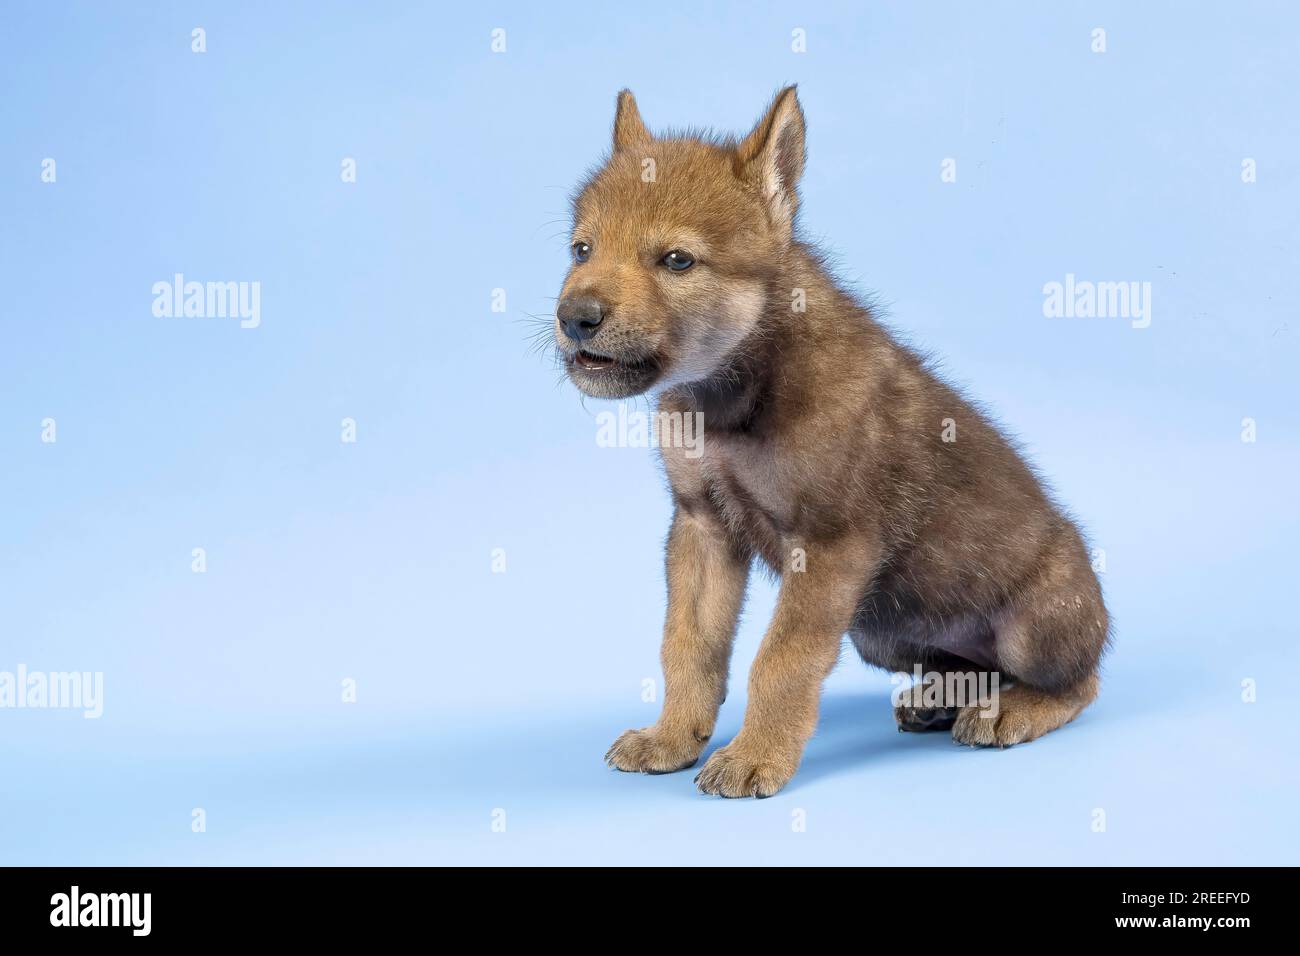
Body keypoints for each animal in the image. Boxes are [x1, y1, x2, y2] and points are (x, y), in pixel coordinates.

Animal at [552, 87, 1109, 797]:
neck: (735, 396)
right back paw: (942, 699)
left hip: (1029, 626)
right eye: (582, 250)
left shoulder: (829, 547)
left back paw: (1009, 710)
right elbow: (688, 648)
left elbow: (780, 662)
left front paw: (756, 755)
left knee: (1079, 683)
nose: (574, 318)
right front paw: (672, 738)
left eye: (677, 260)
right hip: (882, 631)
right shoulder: (701, 526)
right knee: (970, 666)